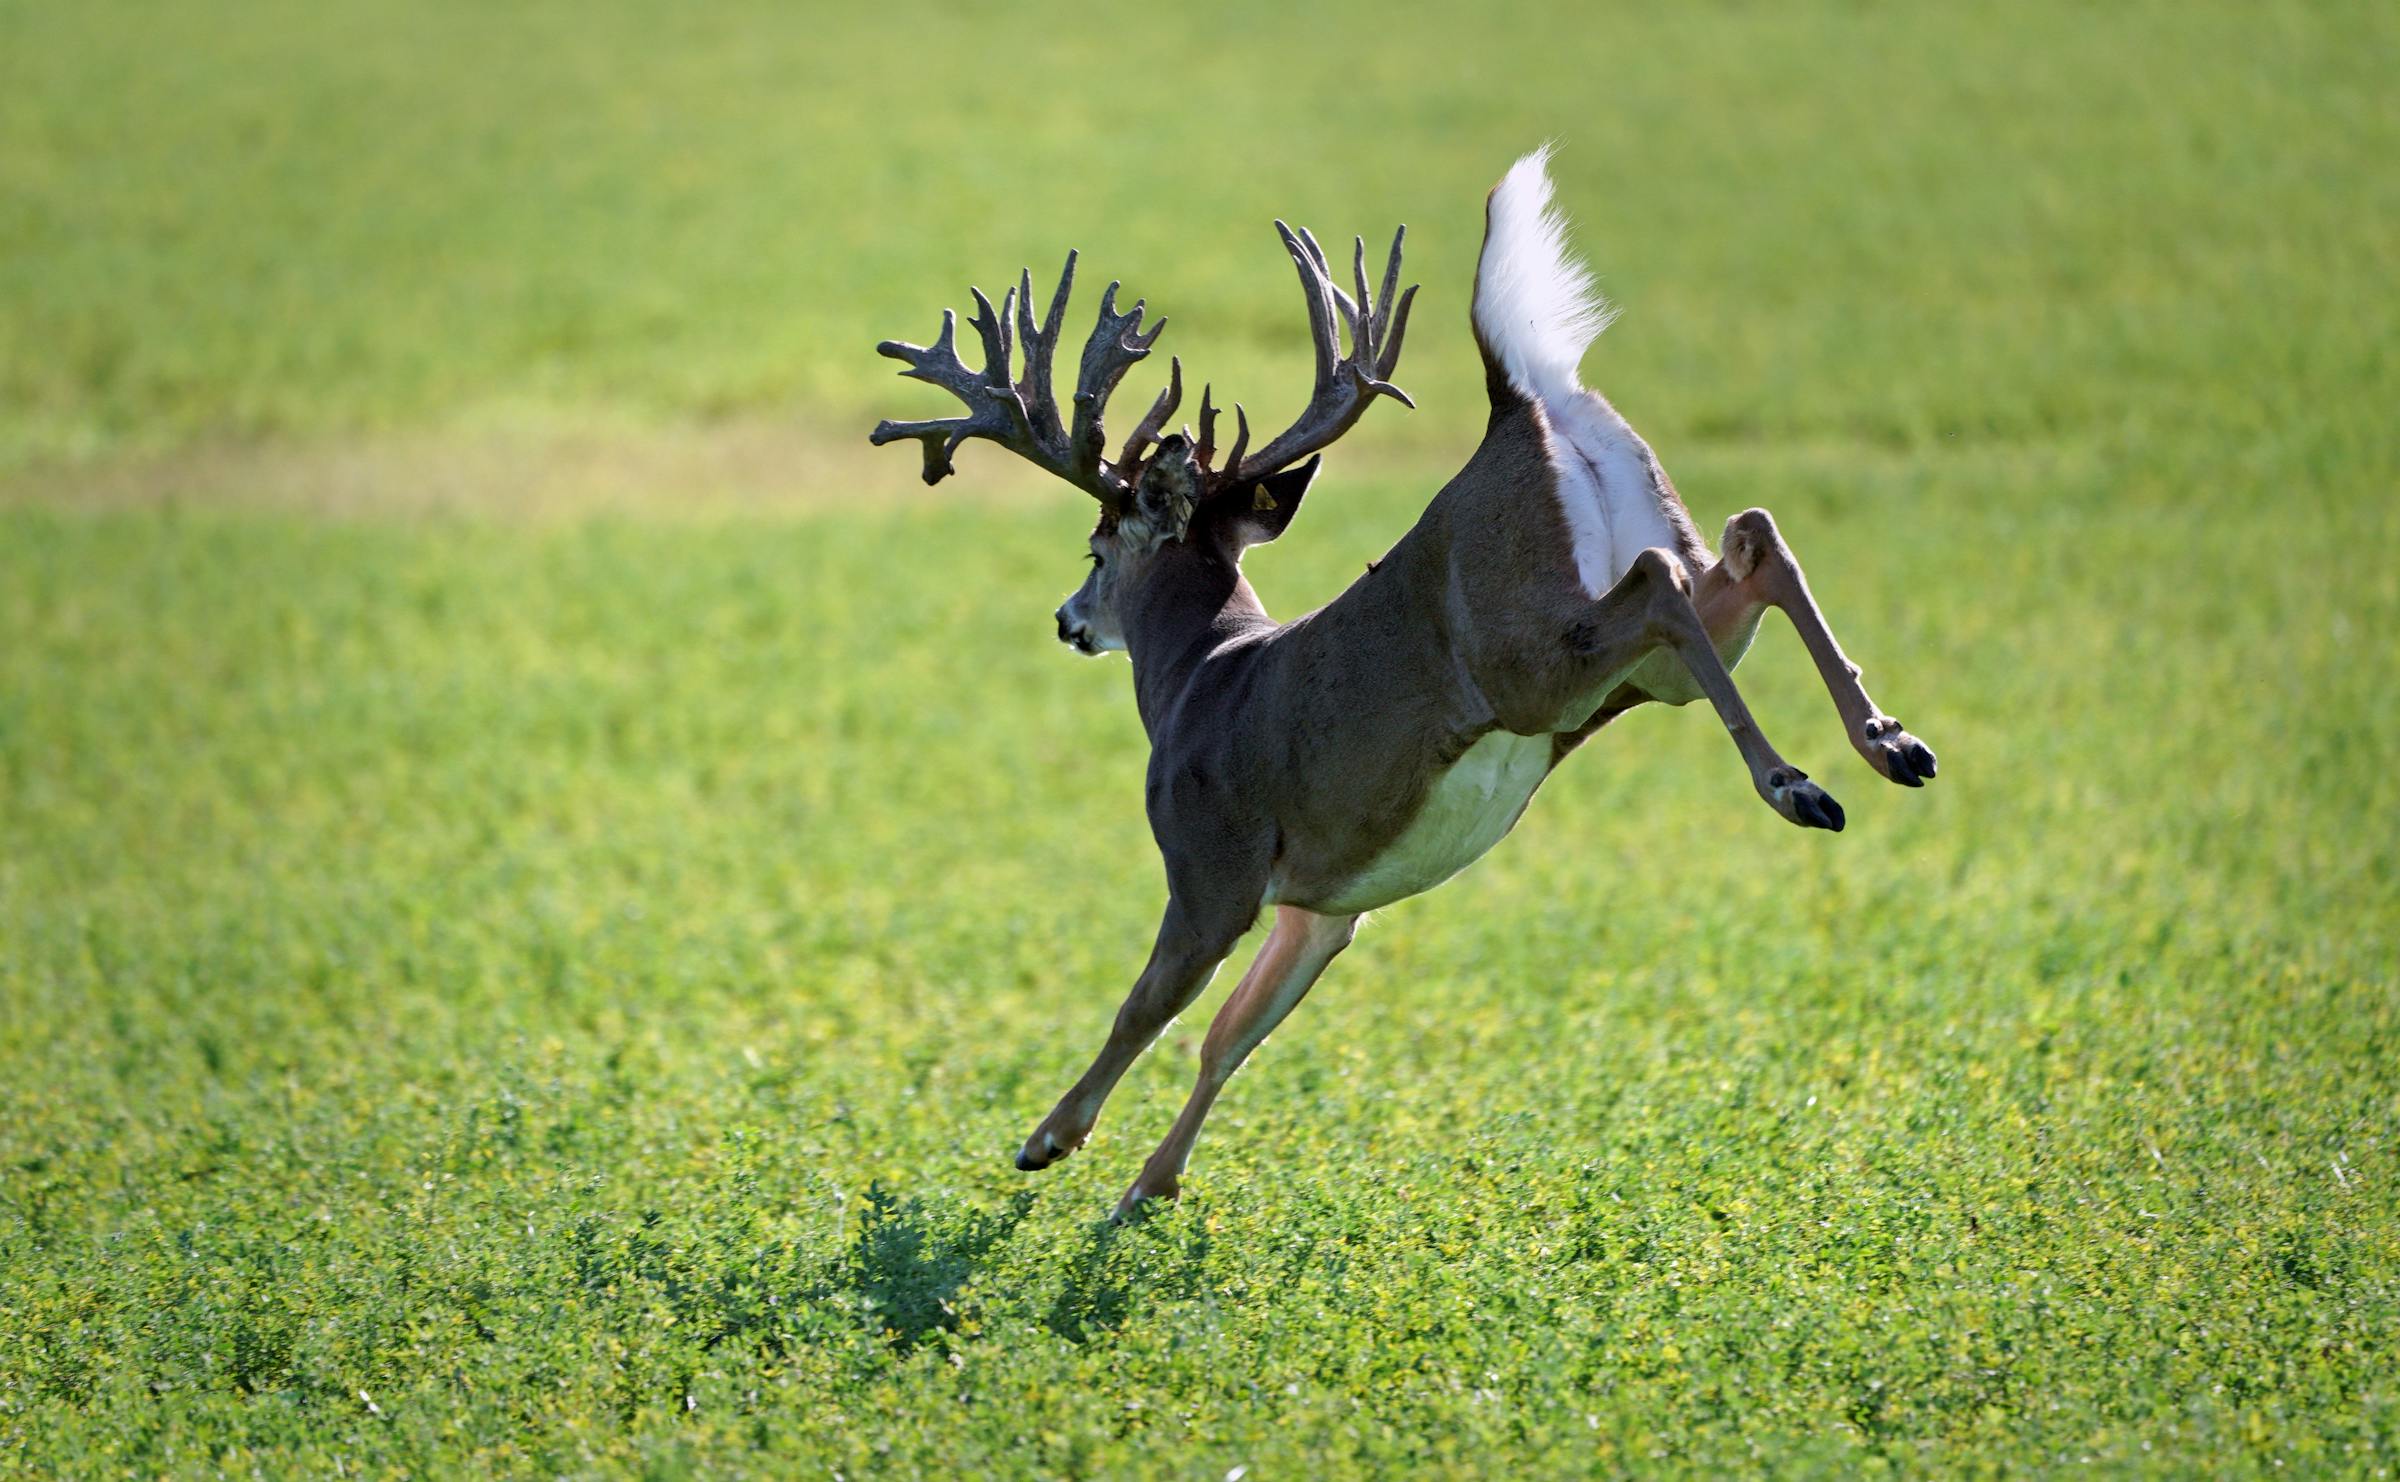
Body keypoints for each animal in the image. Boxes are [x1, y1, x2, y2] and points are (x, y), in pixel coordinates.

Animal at [870, 148, 1938, 1221]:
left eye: (1096, 550)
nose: (1066, 619)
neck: (1197, 678)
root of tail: (1517, 404)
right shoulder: (1324, 903)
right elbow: (1231, 1036)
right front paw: (1150, 1187)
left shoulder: (1211, 862)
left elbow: (1149, 1009)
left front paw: (1049, 1139)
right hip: (1648, 656)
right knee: (1750, 542)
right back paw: (1889, 744)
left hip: (1528, 658)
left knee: (1660, 582)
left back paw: (1796, 783)